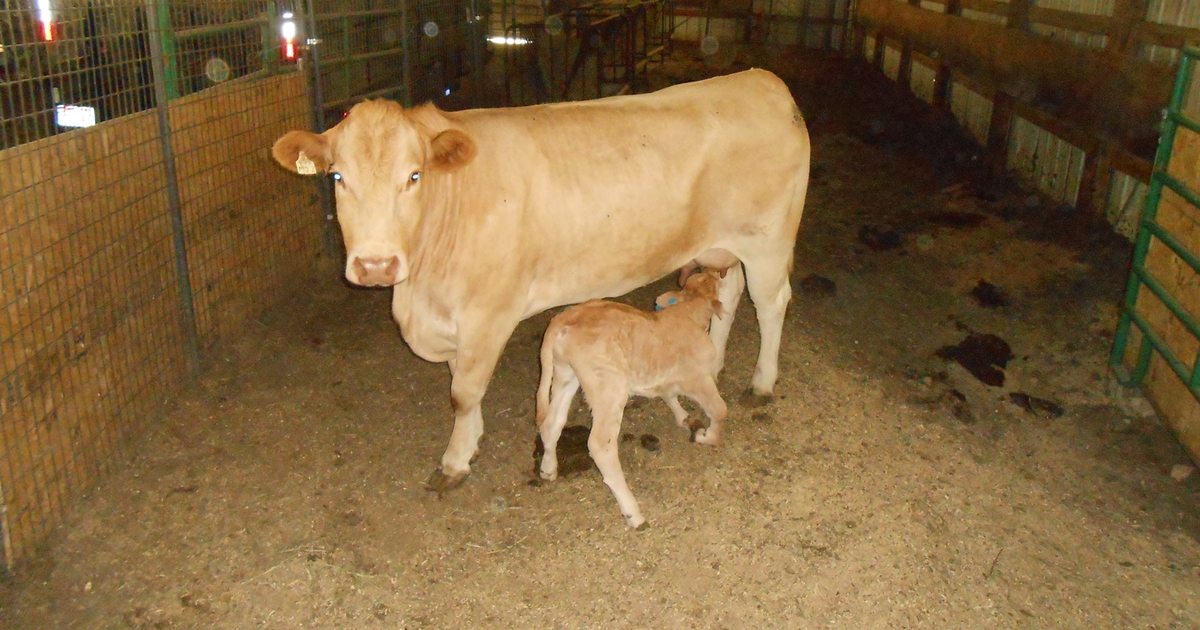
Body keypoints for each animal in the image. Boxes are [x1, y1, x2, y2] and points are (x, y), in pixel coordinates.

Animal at [270, 69, 811, 491]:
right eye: (337, 177)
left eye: (415, 176)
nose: (377, 265)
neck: (419, 292)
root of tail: (762, 81)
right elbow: (460, 381)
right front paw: (472, 439)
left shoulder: (487, 313)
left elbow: (463, 391)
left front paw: (455, 460)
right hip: (724, 247)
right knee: (730, 294)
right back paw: (713, 359)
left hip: (767, 240)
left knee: (771, 304)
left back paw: (762, 382)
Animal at [536, 270, 728, 529]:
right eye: (713, 281)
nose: (716, 271)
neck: (689, 311)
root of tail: (567, 317)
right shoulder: (697, 376)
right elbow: (719, 409)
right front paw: (707, 437)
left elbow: (669, 394)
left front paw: (683, 419)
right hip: (610, 385)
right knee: (600, 444)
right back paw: (633, 513)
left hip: (566, 375)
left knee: (551, 423)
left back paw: (548, 470)